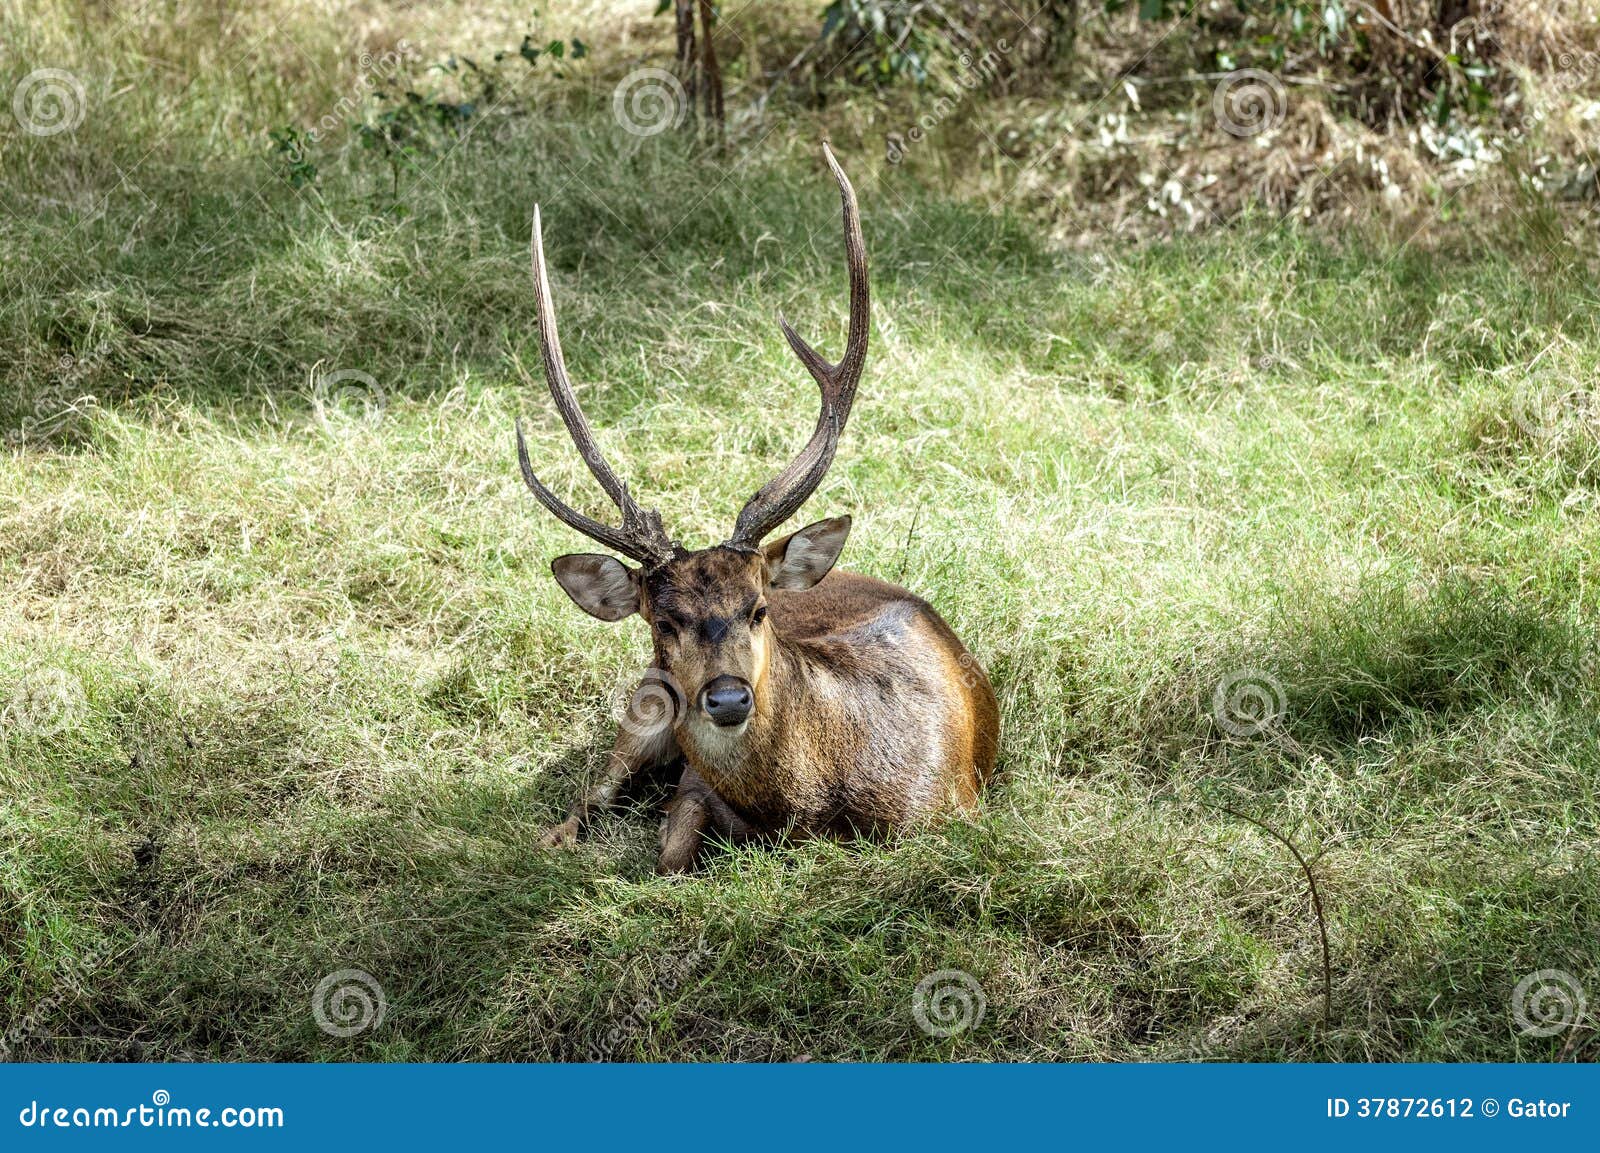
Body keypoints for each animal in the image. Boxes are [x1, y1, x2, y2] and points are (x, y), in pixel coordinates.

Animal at [519, 145, 998, 873]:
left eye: (759, 609)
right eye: (662, 622)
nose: (726, 696)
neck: (809, 805)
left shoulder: (951, 807)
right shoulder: (691, 779)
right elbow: (671, 851)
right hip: (643, 706)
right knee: (584, 799)